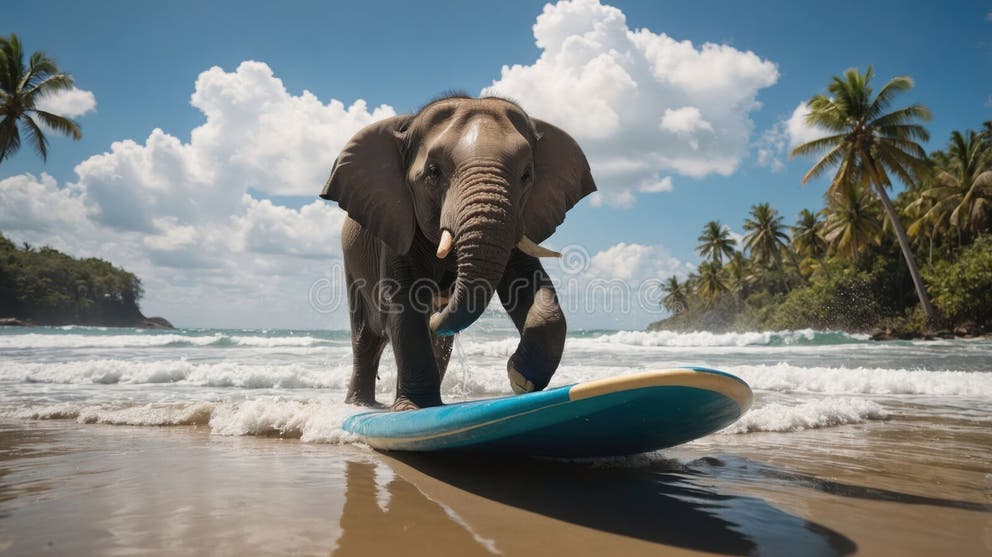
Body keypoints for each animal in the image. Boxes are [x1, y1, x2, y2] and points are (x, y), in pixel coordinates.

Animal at [319, 94, 596, 410]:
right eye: (433, 172)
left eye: (526, 175)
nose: (439, 304)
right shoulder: (396, 223)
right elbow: (404, 302)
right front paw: (415, 408)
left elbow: (528, 284)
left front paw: (520, 379)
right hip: (351, 263)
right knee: (366, 336)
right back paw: (362, 405)